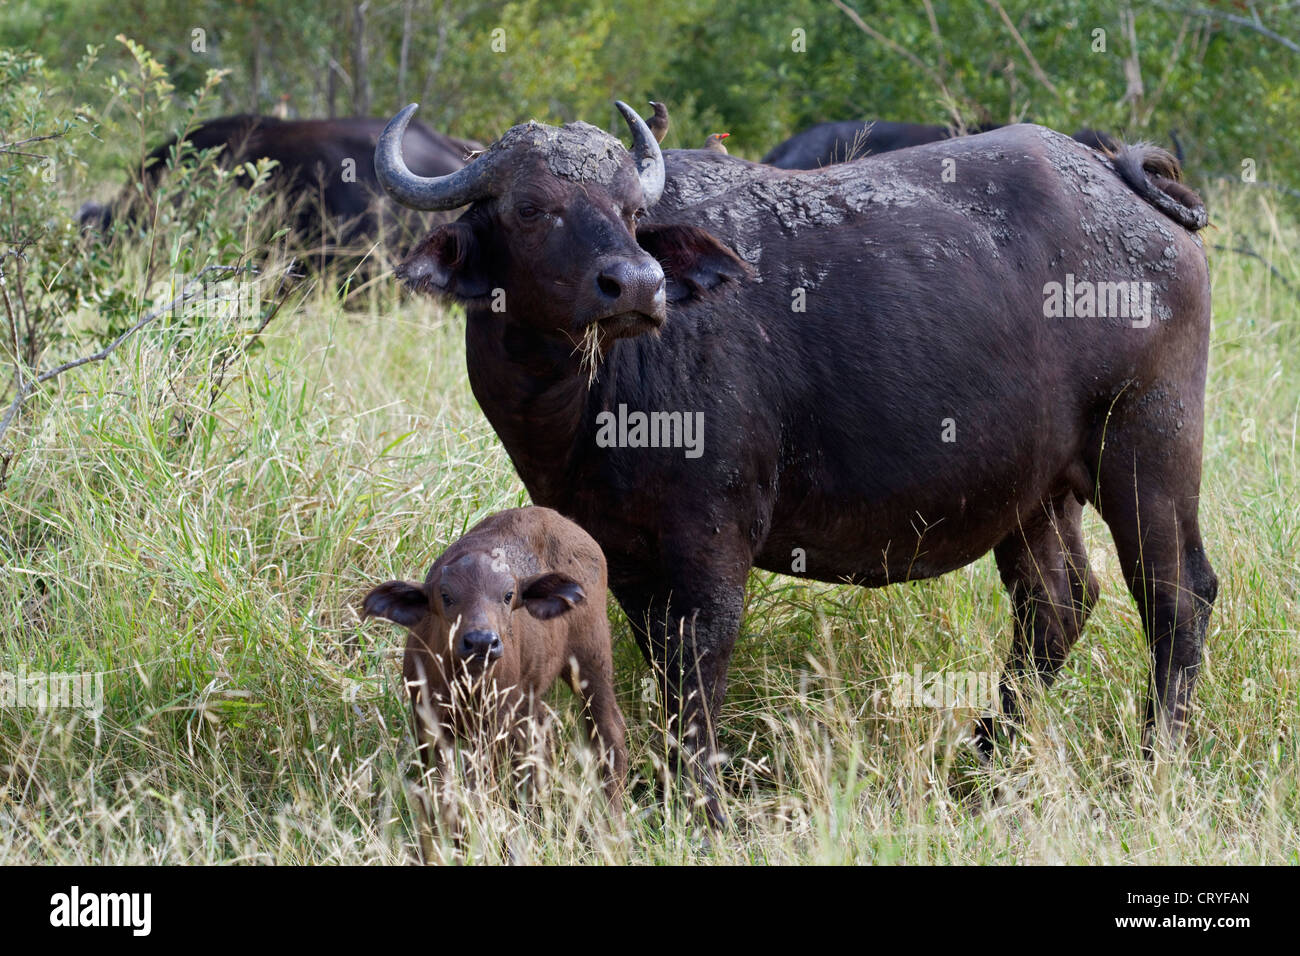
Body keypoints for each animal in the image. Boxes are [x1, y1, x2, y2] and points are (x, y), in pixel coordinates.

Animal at [363, 506, 627, 837]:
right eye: (446, 596)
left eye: (508, 595)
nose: (481, 642)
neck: (463, 684)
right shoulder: (426, 719)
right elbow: (439, 785)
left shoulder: (491, 725)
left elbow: (479, 784)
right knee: (539, 735)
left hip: (591, 655)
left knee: (607, 729)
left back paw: (612, 821)